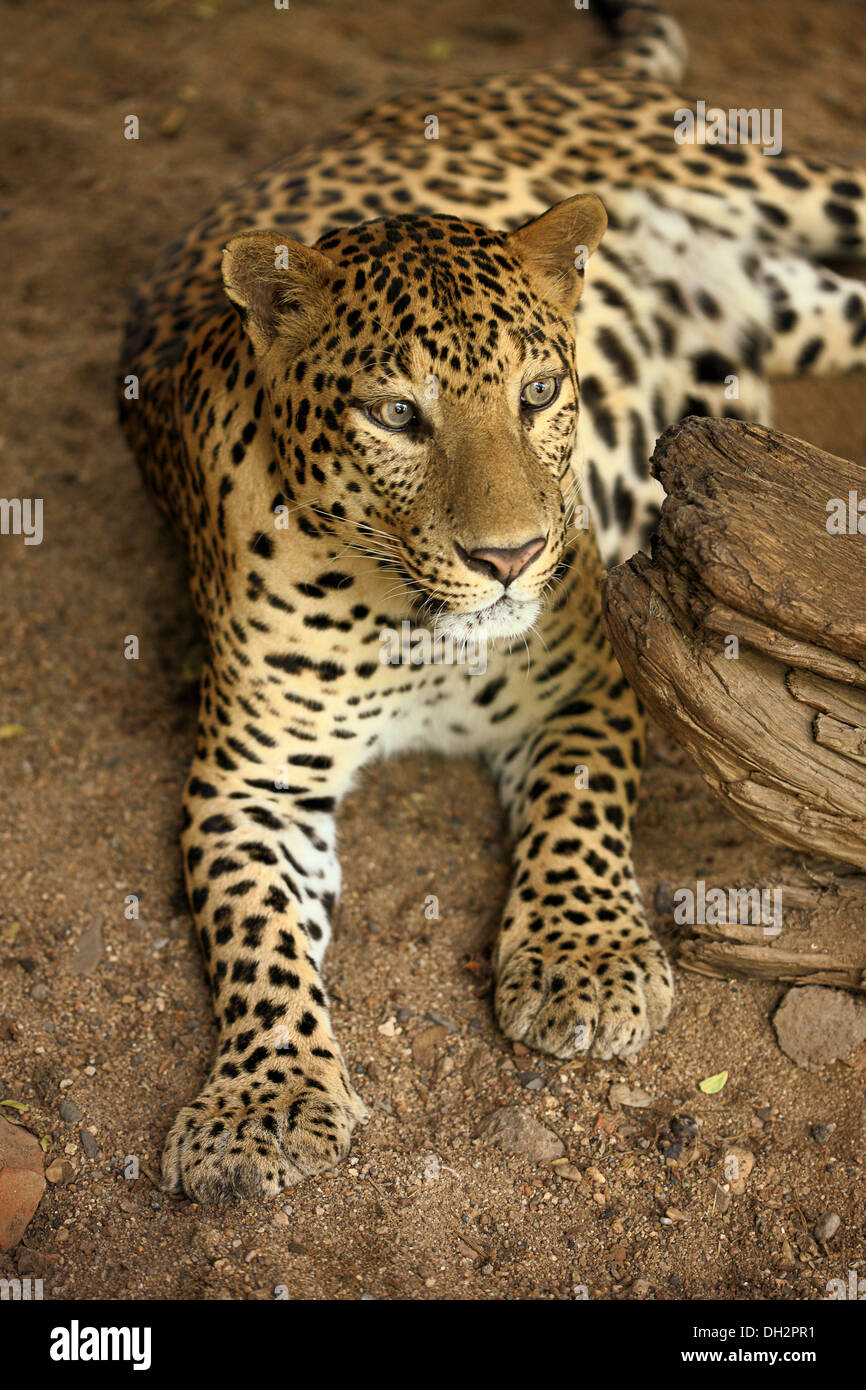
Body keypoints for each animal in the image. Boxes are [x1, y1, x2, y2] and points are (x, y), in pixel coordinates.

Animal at [118, 0, 866, 1203]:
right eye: (394, 414)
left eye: (542, 391)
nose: (514, 556)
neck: (403, 622)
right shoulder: (247, 783)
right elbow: (255, 937)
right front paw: (260, 1100)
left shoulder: (589, 687)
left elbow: (575, 812)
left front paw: (582, 961)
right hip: (804, 309)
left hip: (775, 180)